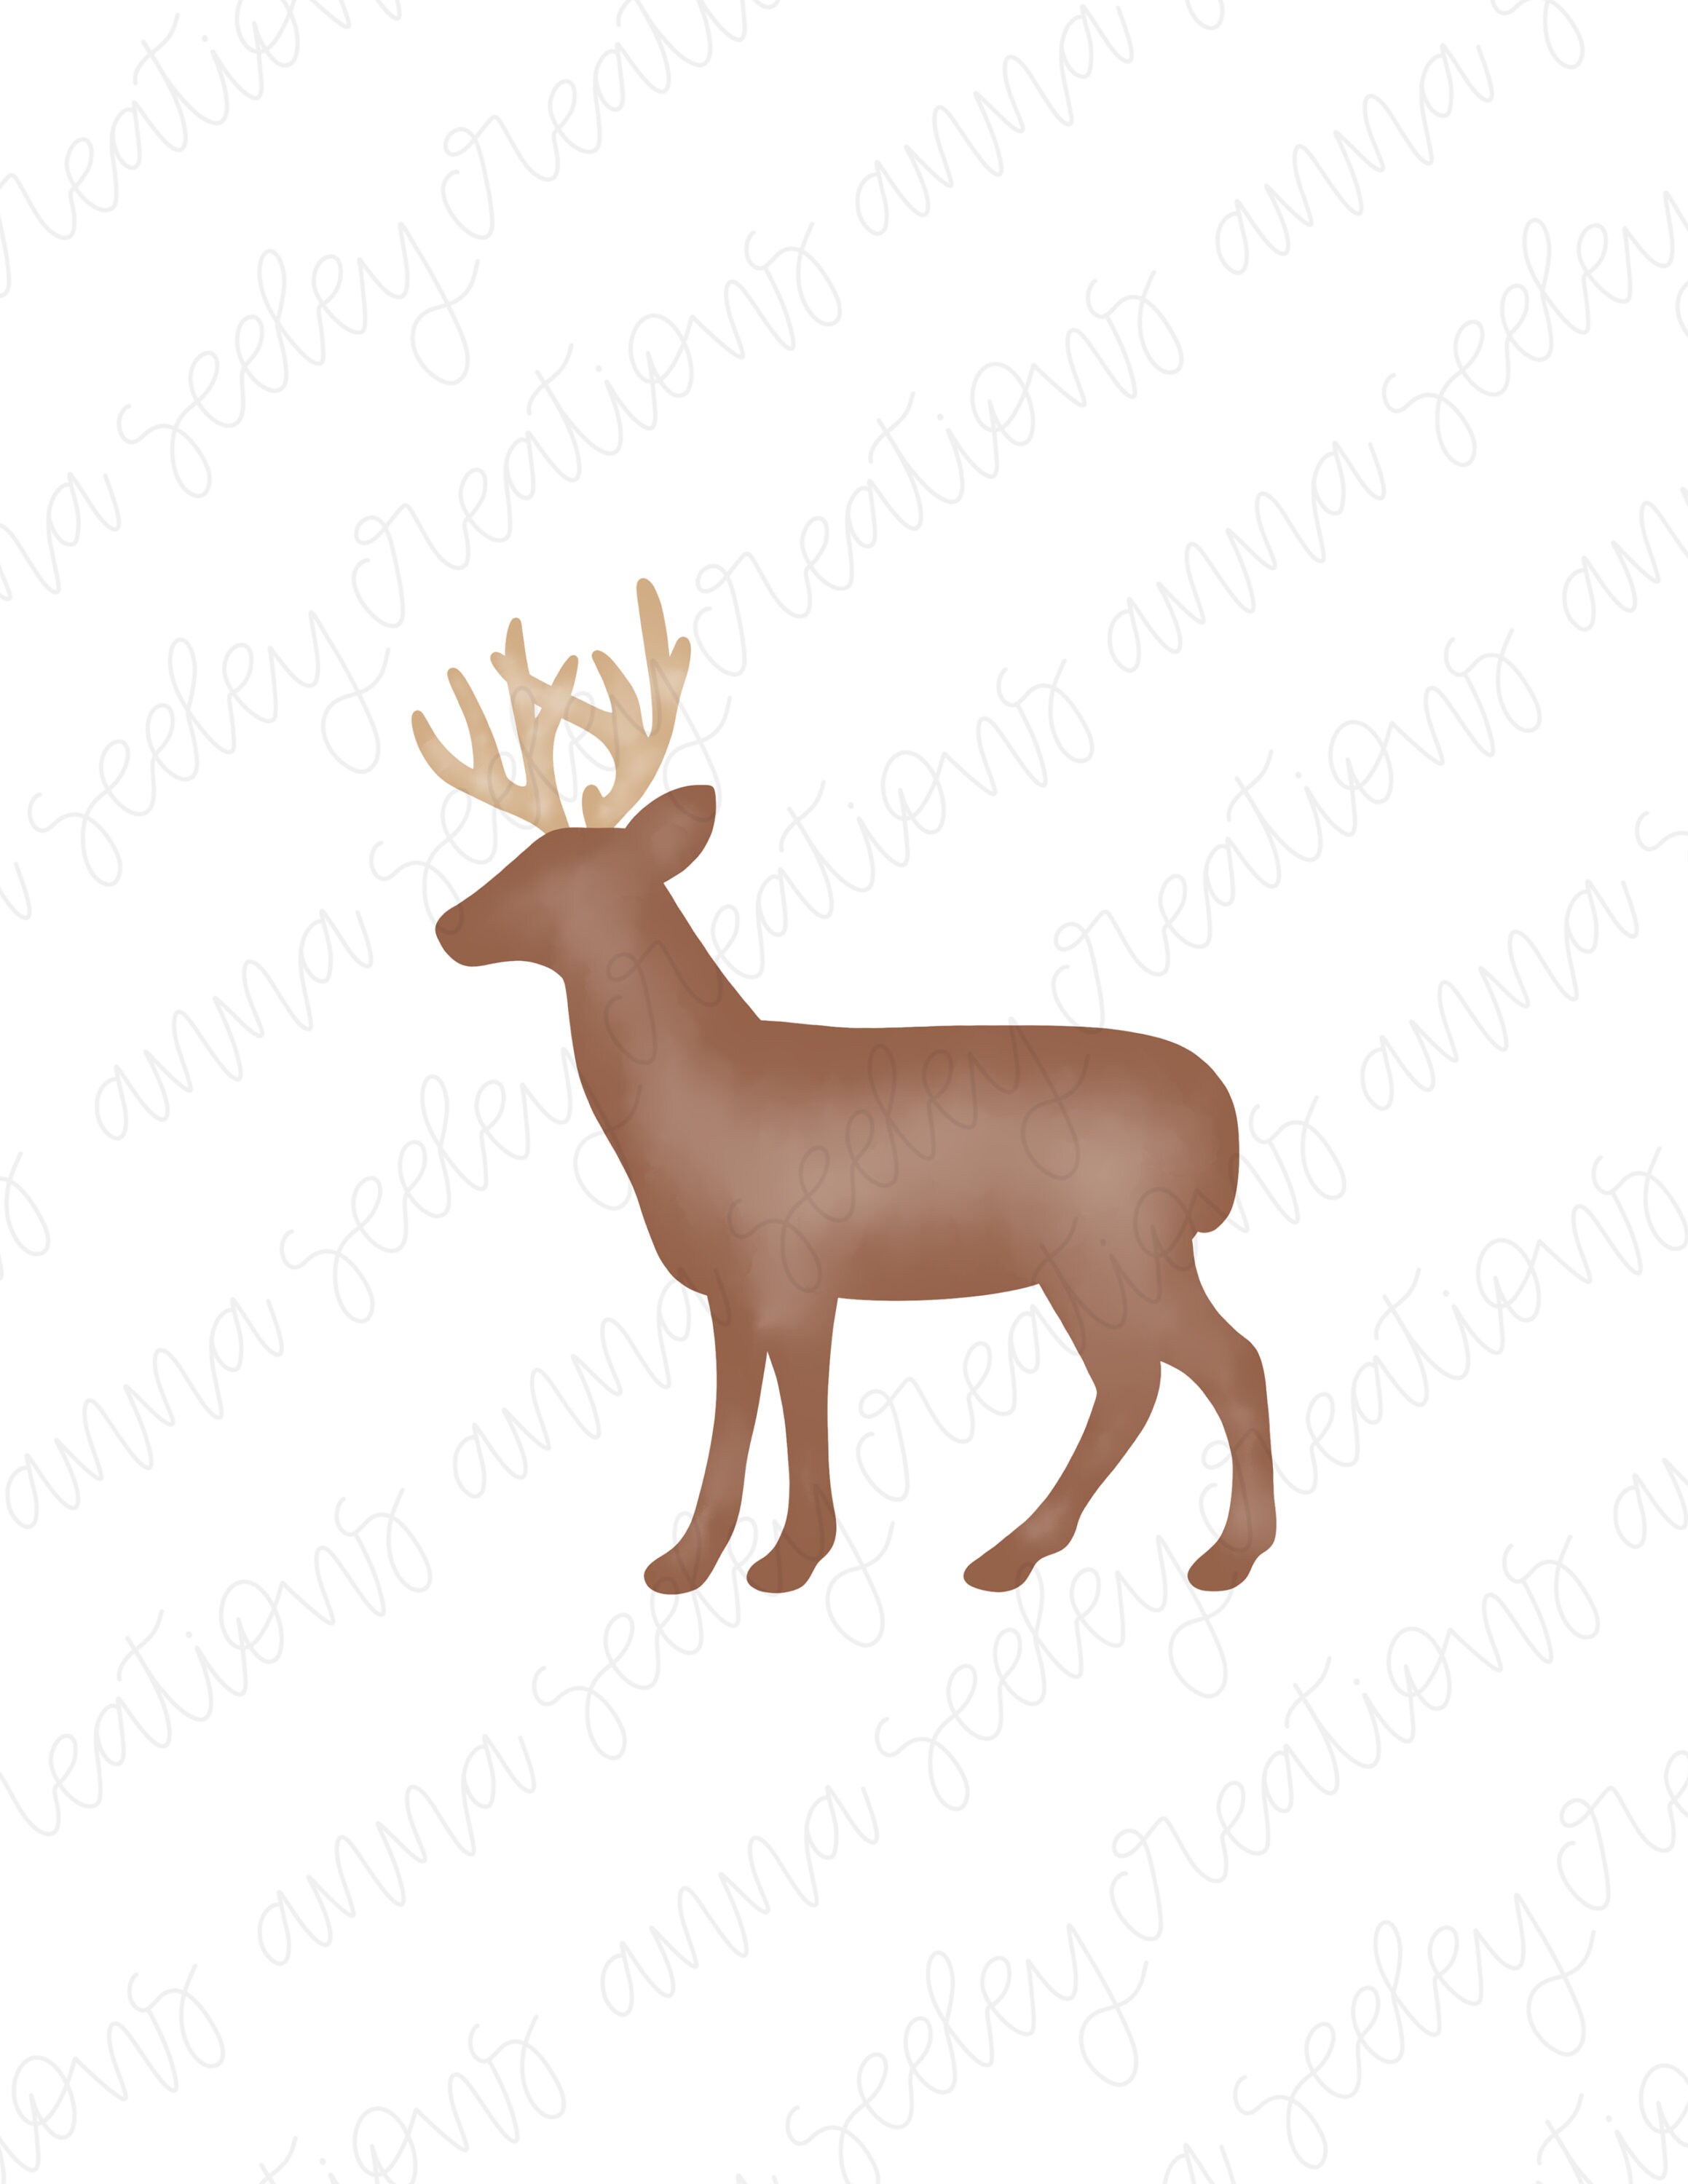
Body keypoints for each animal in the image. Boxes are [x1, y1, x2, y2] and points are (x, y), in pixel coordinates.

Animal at [412, 581, 1276, 1599]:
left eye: (550, 869)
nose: (448, 924)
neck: (708, 1092)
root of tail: (1222, 1128)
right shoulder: (736, 1289)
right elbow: (742, 1414)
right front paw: (692, 1561)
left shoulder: (790, 1270)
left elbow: (787, 1410)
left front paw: (783, 1559)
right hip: (1092, 1263)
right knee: (1133, 1383)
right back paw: (1013, 1553)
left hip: (1123, 1245)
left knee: (1223, 1362)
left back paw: (1222, 1556)